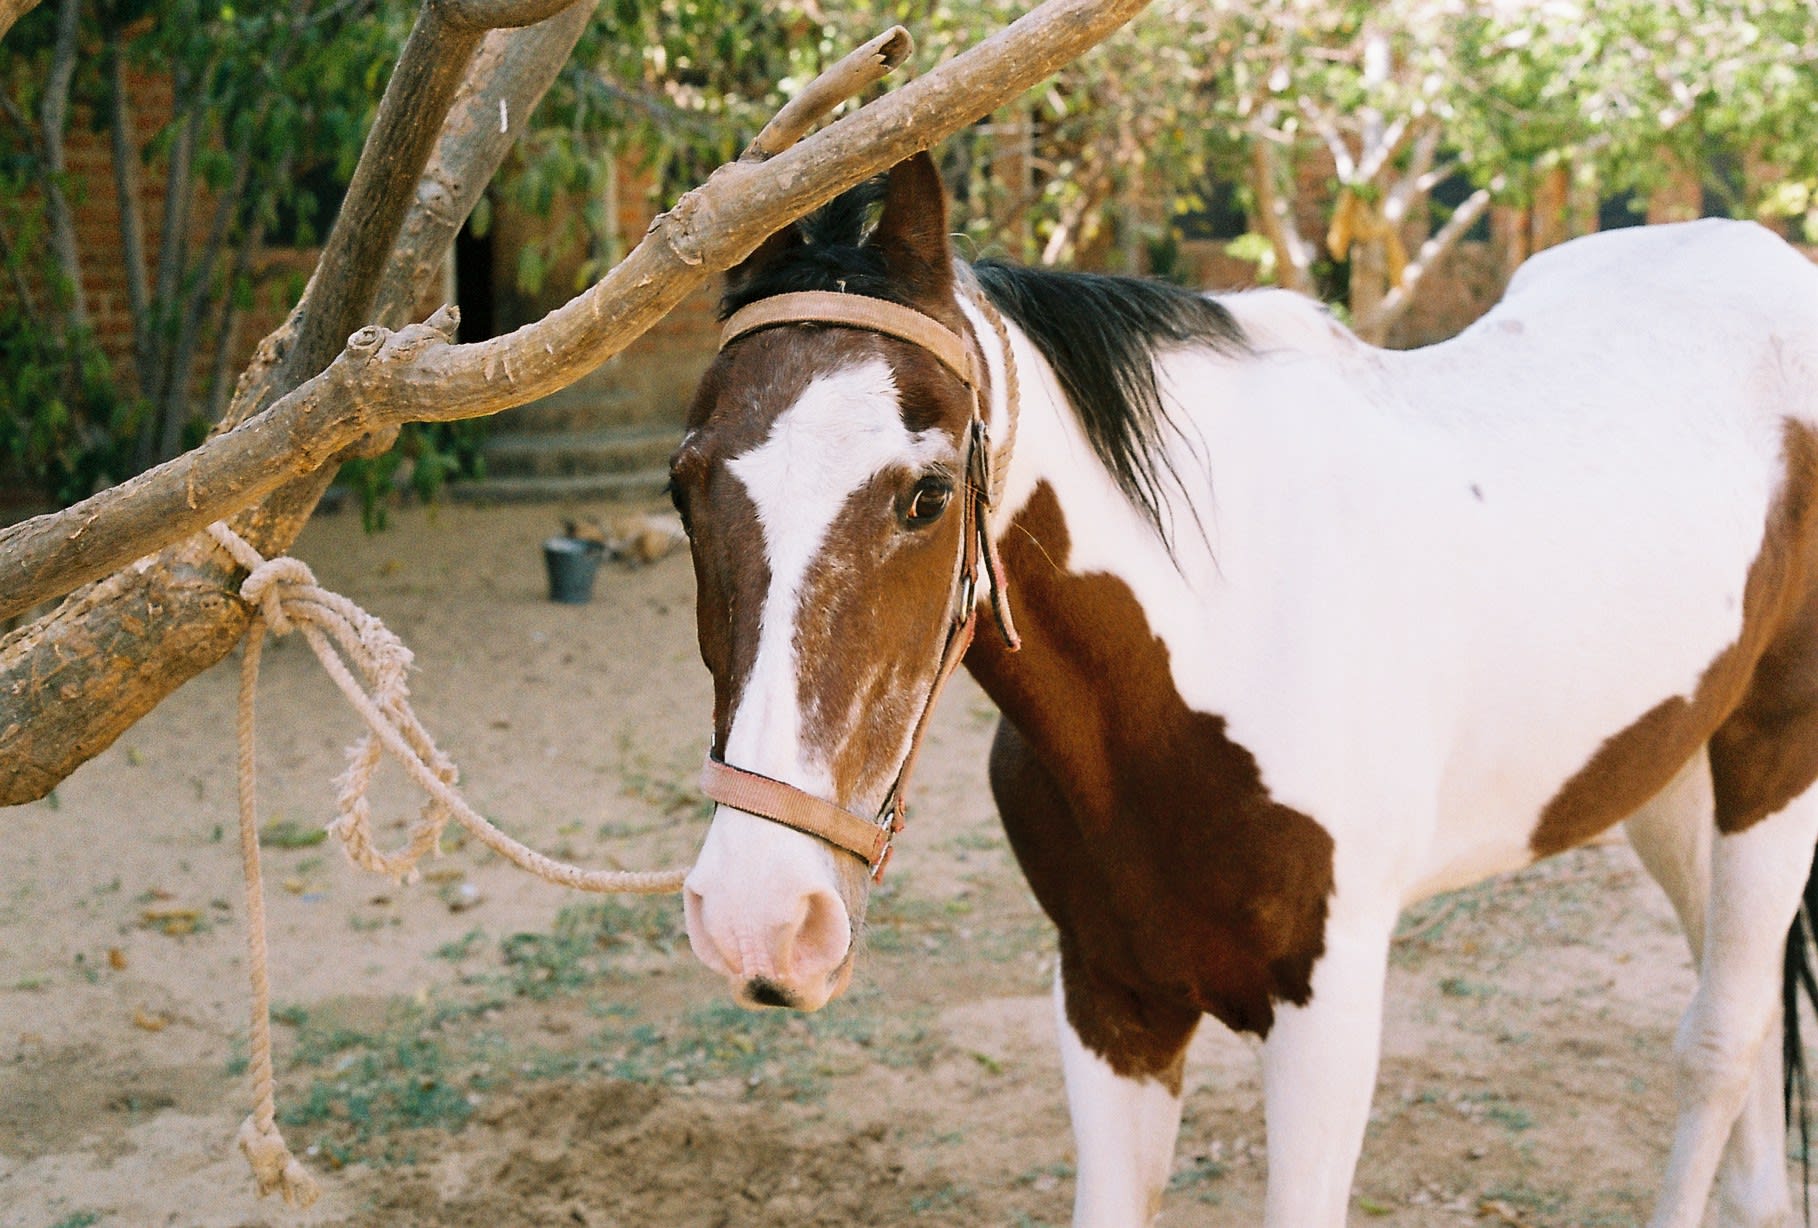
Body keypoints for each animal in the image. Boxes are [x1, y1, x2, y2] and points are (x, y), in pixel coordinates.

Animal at [670, 149, 1818, 1227]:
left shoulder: (1327, 1018)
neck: (1213, 646)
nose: (758, 918)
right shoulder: (1110, 1000)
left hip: (1772, 764)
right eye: (684, 487)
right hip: (1665, 776)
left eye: (927, 493)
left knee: (1721, 1036)